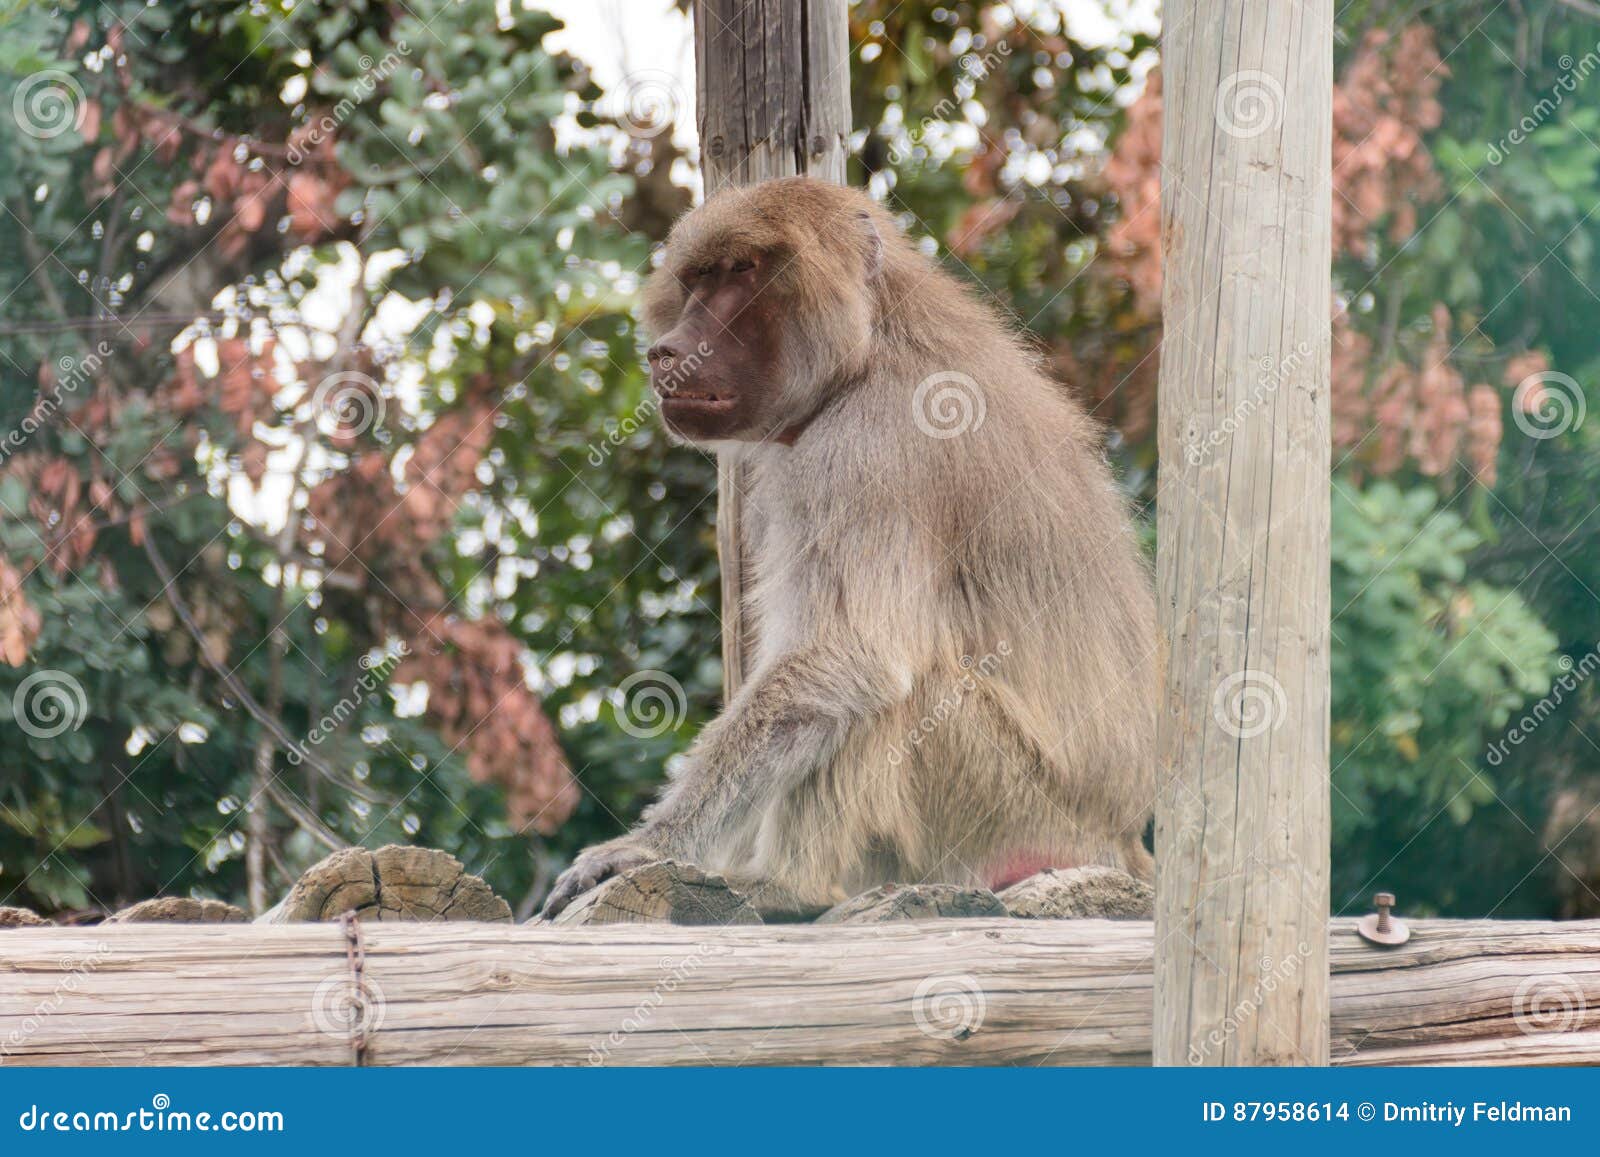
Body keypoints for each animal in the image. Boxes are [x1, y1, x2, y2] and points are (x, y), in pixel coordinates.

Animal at [541, 176, 1156, 920]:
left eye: (739, 274)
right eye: (695, 280)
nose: (667, 348)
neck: (869, 350)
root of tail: (1122, 840)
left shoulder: (869, 449)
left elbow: (850, 657)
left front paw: (646, 845)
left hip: (1011, 807)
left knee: (897, 687)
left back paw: (789, 887)